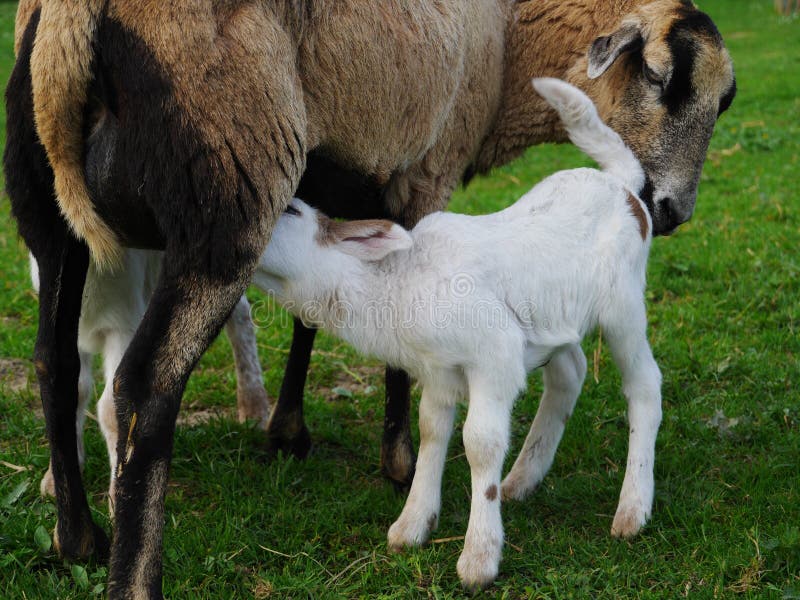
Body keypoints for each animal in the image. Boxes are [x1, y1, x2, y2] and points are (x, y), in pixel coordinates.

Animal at [29, 252, 270, 503]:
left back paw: (255, 409)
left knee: (240, 313)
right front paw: (56, 479)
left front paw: (117, 496)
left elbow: (112, 407)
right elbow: (74, 390)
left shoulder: (124, 325)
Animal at [253, 78, 660, 590]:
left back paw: (632, 509)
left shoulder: (495, 356)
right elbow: (432, 431)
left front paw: (478, 558)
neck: (395, 285)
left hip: (622, 305)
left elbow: (480, 441)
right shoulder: (439, 372)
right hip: (552, 318)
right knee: (570, 370)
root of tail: (623, 188)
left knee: (644, 384)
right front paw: (412, 525)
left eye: (290, 209)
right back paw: (522, 480)